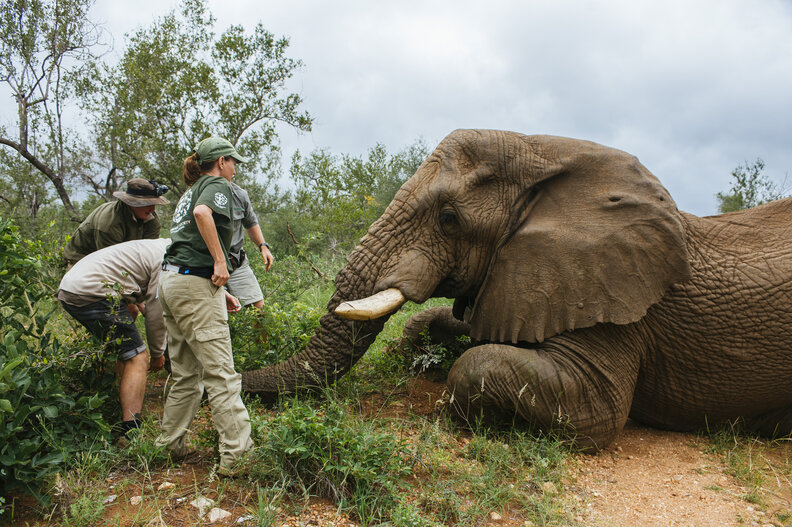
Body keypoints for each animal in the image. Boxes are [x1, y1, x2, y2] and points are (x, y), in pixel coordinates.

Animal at [241, 129, 792, 451]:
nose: (237, 383)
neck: (542, 150)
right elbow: (449, 325)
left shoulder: (615, 298)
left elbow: (593, 408)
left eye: (448, 219)